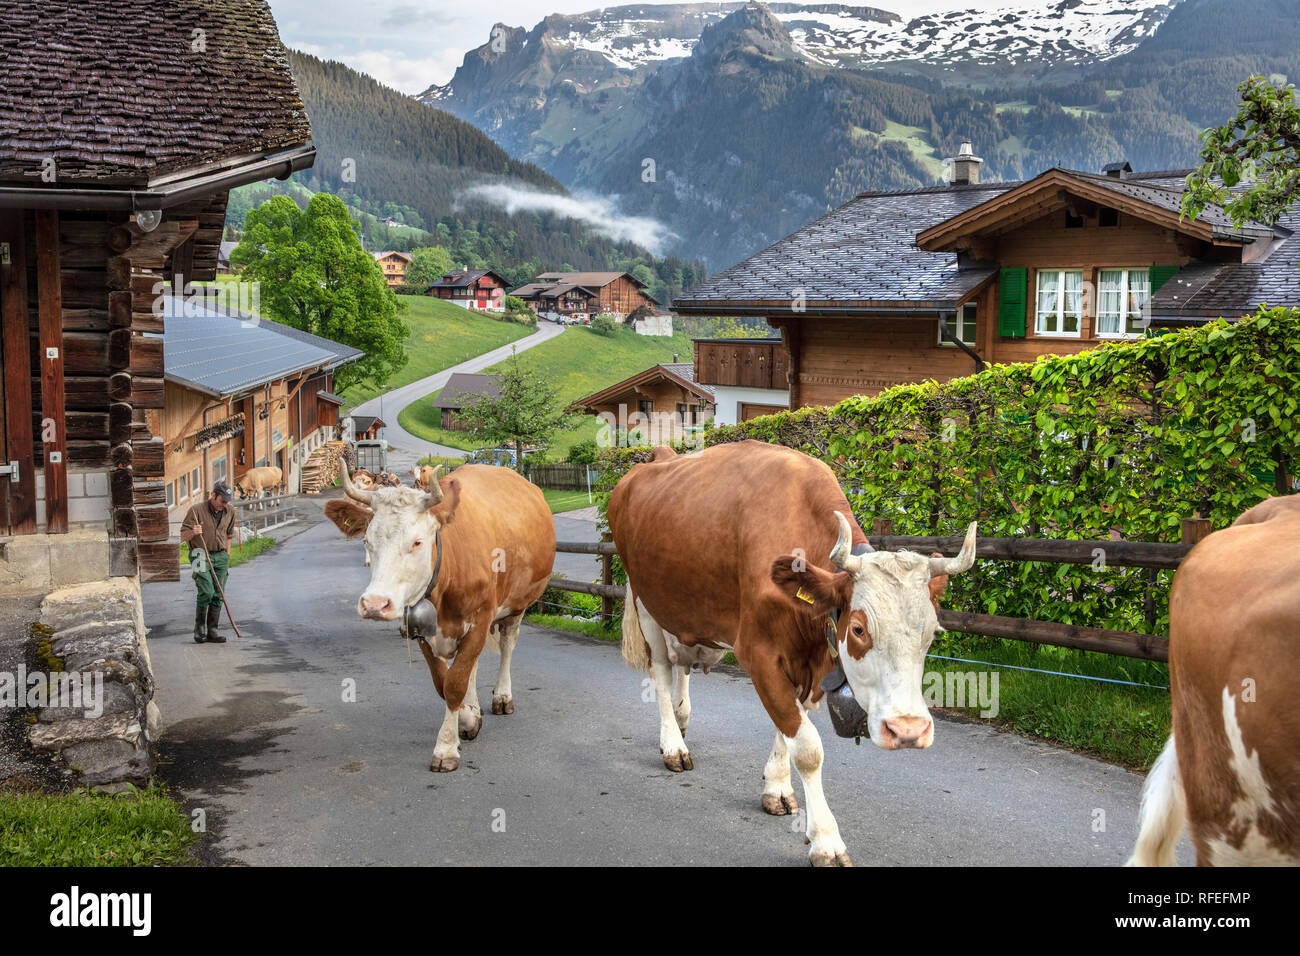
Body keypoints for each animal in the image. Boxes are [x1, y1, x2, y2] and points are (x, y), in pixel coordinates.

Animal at [325, 462, 555, 772]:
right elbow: (443, 683)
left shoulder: (482, 618)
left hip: (516, 606)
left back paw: (502, 696)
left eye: (417, 542)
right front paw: (467, 719)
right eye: (367, 540)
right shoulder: (422, 629)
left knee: (507, 644)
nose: (374, 604)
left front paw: (446, 747)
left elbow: (455, 683)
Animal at [609, 440, 977, 866]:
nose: (908, 731)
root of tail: (659, 457)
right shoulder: (760, 655)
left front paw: (777, 788)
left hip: (682, 605)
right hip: (644, 600)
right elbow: (808, 748)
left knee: (682, 665)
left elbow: (787, 729)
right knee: (661, 673)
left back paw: (683, 720)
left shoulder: (804, 664)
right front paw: (826, 840)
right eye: (858, 629)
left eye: (932, 633)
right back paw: (673, 745)